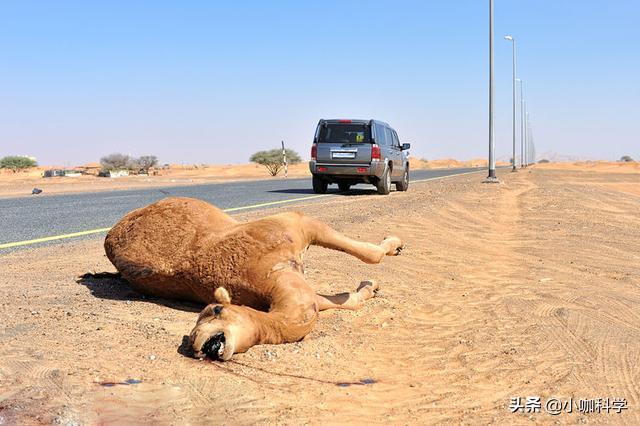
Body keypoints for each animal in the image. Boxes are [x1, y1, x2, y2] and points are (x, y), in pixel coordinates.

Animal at [104, 197, 404, 360]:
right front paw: (373, 282)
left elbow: (368, 260)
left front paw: (391, 253)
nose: (198, 343)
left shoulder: (296, 225)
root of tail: (110, 235)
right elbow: (347, 295)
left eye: (216, 310)